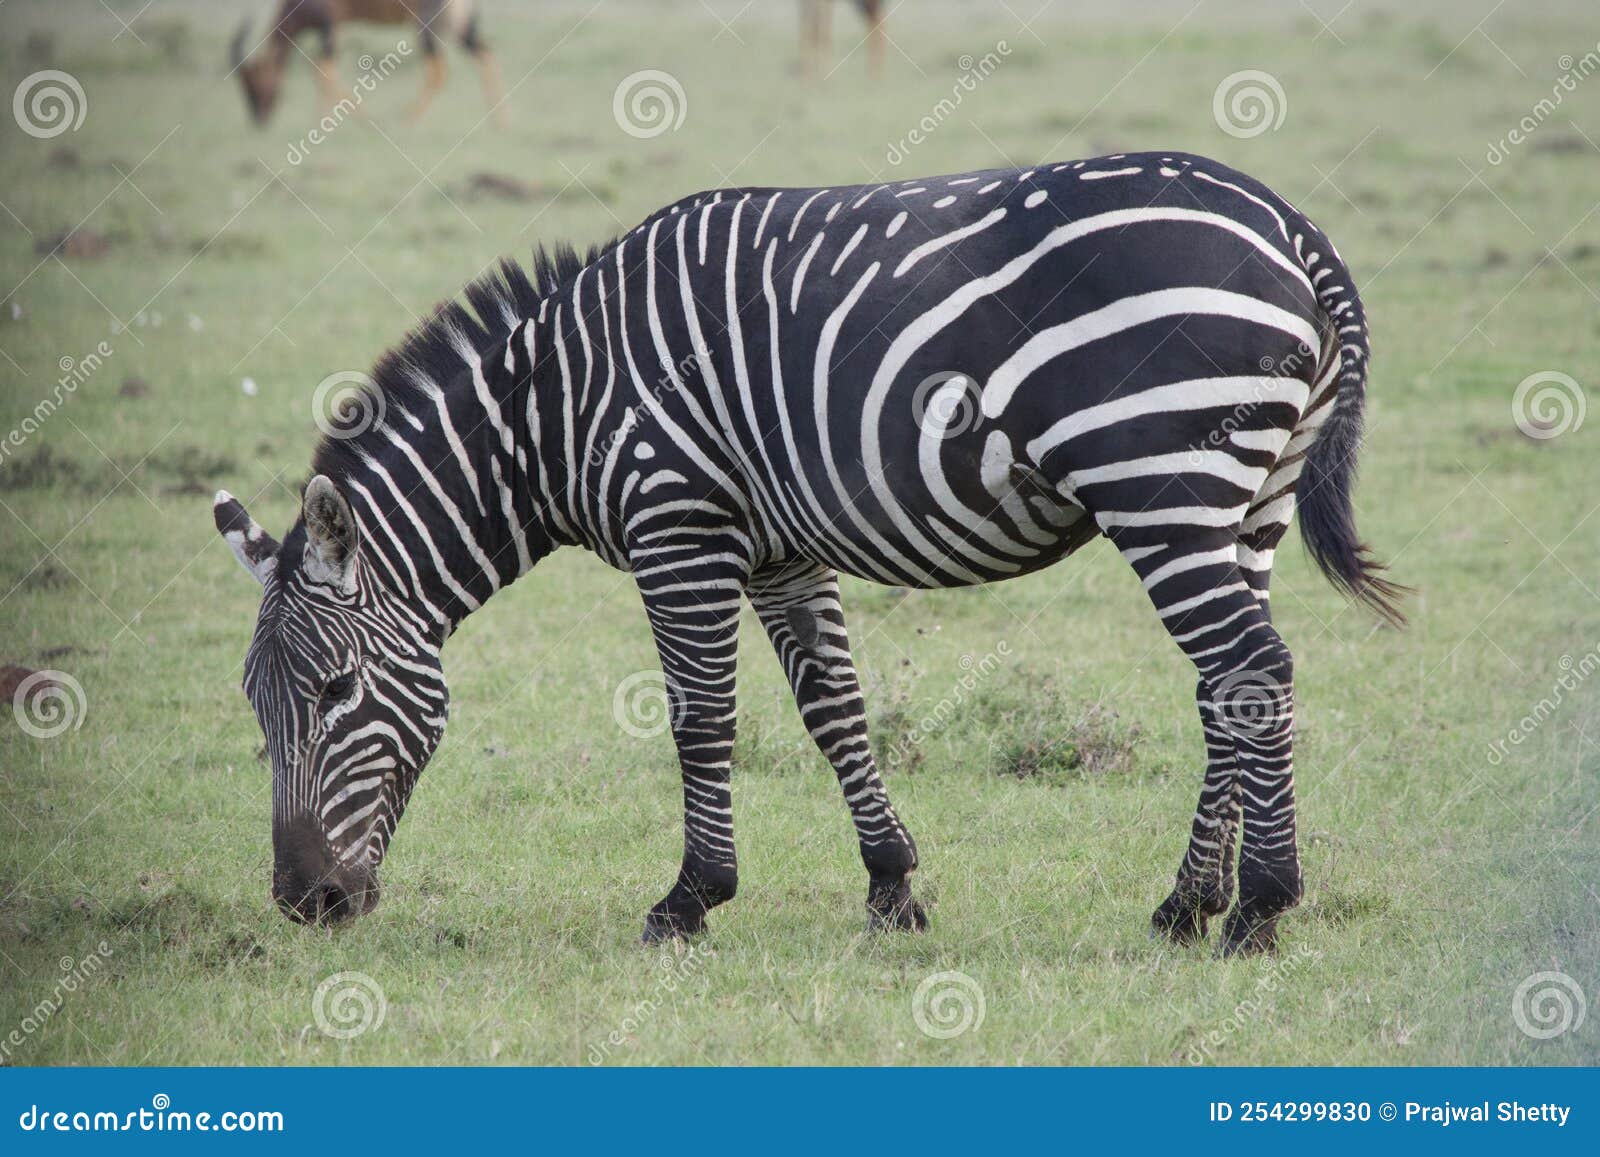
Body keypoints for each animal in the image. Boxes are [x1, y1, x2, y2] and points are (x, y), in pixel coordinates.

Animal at [214, 151, 1404, 954]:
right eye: (258, 708)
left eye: (334, 690)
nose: (306, 904)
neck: (548, 411)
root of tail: (1290, 223)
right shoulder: (782, 550)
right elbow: (833, 707)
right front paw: (892, 888)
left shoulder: (677, 524)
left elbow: (700, 718)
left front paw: (689, 899)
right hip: (1245, 496)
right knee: (1225, 684)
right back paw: (1187, 903)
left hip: (1162, 475)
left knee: (1250, 668)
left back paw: (1258, 910)